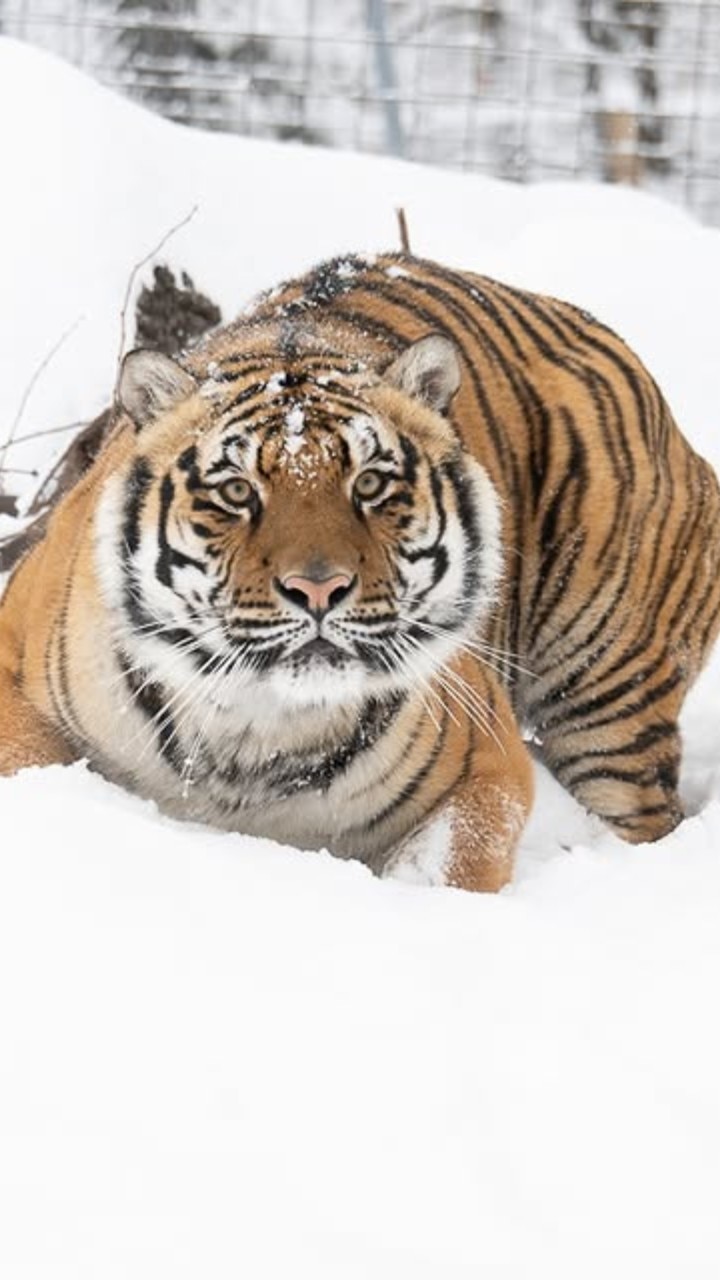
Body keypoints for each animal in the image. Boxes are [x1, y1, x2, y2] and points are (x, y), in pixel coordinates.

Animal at [1, 251, 719, 892]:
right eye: (237, 491)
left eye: (370, 484)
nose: (319, 588)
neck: (258, 733)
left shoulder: (488, 765)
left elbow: (452, 865)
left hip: (610, 706)